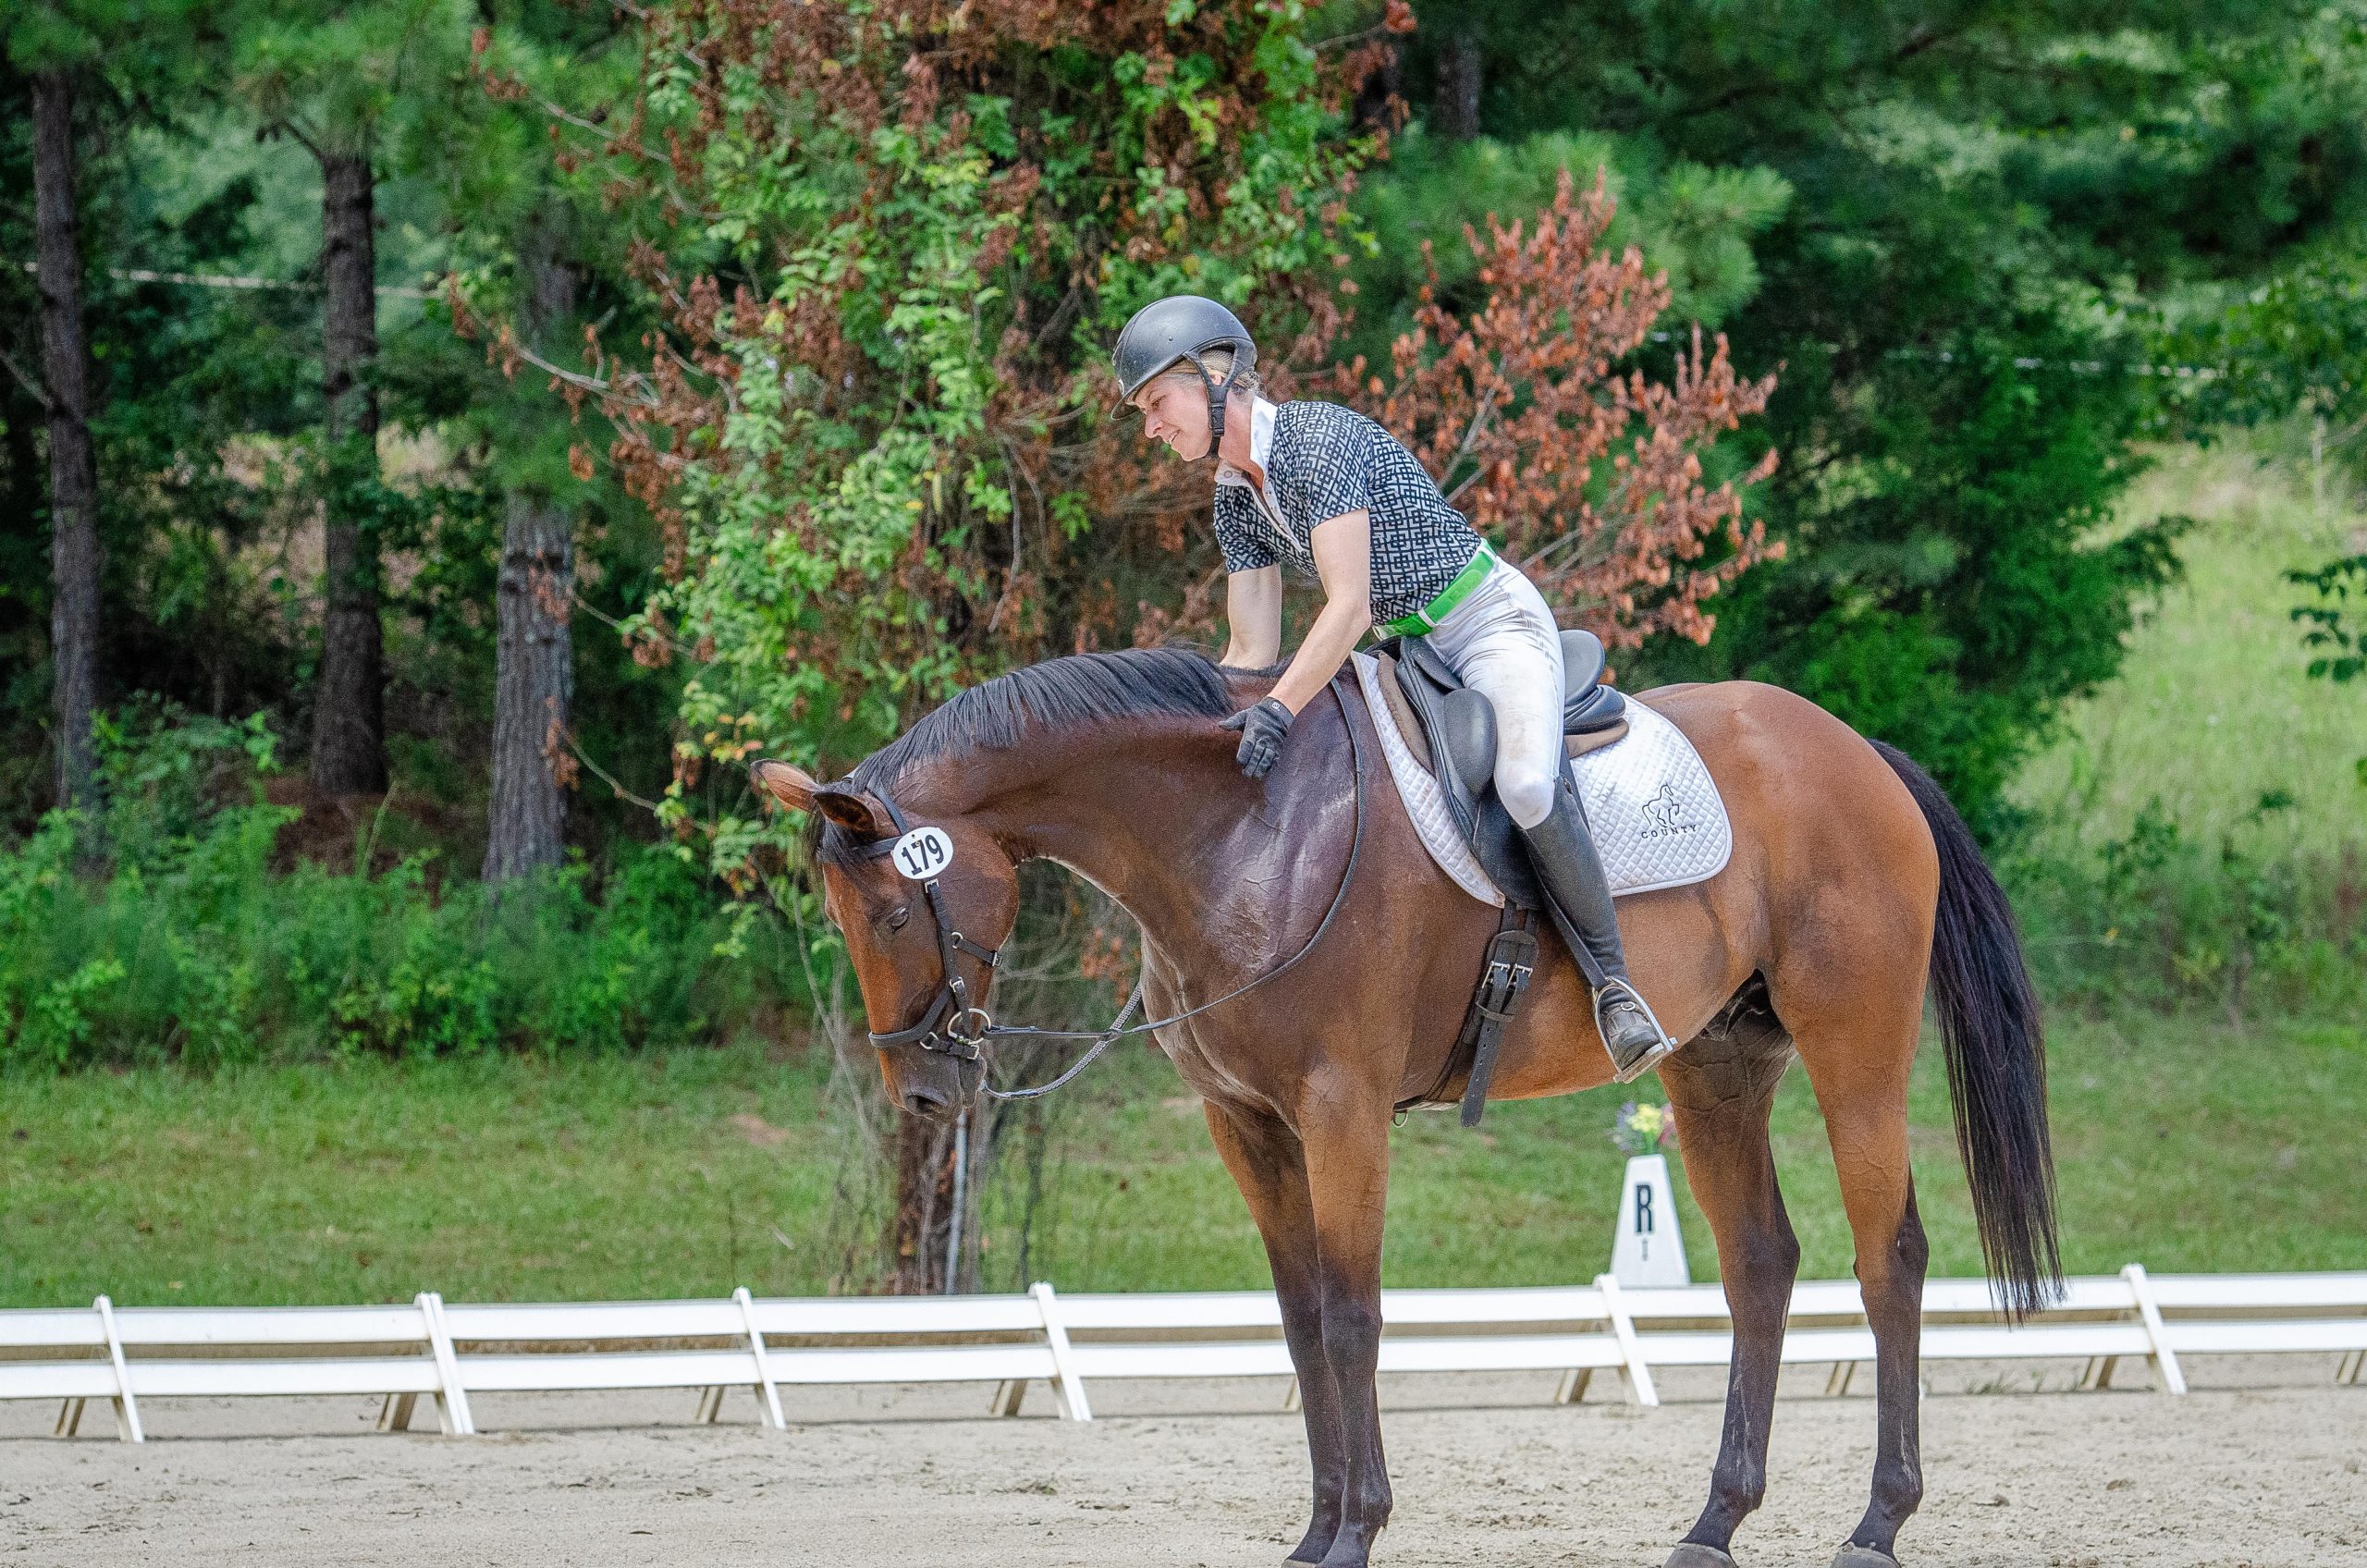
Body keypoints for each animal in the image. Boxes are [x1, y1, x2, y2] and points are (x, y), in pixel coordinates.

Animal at [753, 644, 2057, 1568]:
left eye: (887, 912)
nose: (925, 1089)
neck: (1238, 832)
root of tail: (1853, 751)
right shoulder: (1249, 1124)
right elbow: (1295, 1322)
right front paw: (1313, 1530)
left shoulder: (1339, 1111)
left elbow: (1350, 1317)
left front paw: (1357, 1531)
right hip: (1715, 1070)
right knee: (1760, 1265)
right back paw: (1713, 1523)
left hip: (1854, 1054)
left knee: (1889, 1259)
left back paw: (1877, 1523)